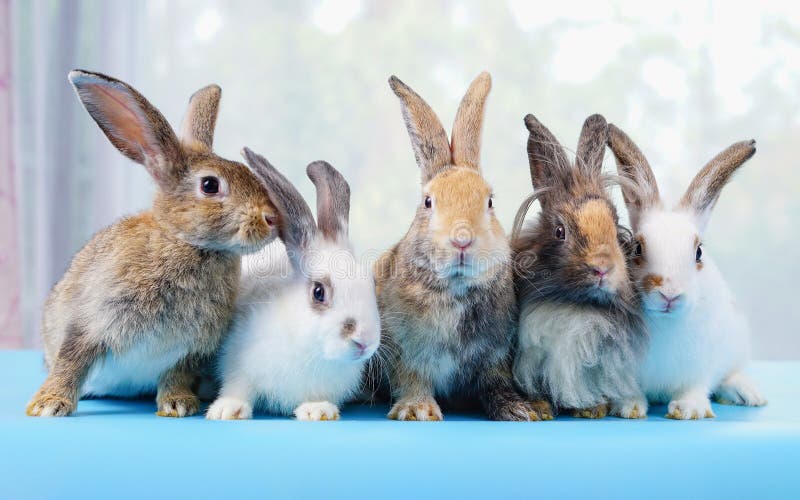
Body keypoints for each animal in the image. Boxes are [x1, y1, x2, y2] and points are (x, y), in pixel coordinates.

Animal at [26, 70, 278, 417]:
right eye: (210, 185)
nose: (273, 218)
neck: (183, 240)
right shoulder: (88, 323)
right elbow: (71, 362)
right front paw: (49, 404)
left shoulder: (188, 351)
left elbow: (176, 375)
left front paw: (178, 404)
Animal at [206, 149, 381, 421]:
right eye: (318, 292)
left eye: (371, 283)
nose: (365, 342)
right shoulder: (237, 363)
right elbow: (237, 387)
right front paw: (227, 410)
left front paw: (318, 411)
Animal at [373, 71, 543, 422]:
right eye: (428, 202)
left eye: (489, 201)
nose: (462, 239)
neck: (457, 287)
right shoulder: (404, 351)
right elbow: (412, 379)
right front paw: (417, 410)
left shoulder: (495, 356)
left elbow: (496, 384)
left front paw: (520, 410)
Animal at [511, 114, 649, 419]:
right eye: (559, 231)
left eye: (615, 224)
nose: (602, 268)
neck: (575, 306)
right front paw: (540, 408)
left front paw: (593, 409)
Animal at [606, 124, 766, 419]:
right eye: (637, 248)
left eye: (698, 252)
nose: (669, 293)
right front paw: (628, 408)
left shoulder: (702, 365)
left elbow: (696, 386)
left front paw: (689, 409)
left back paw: (748, 393)